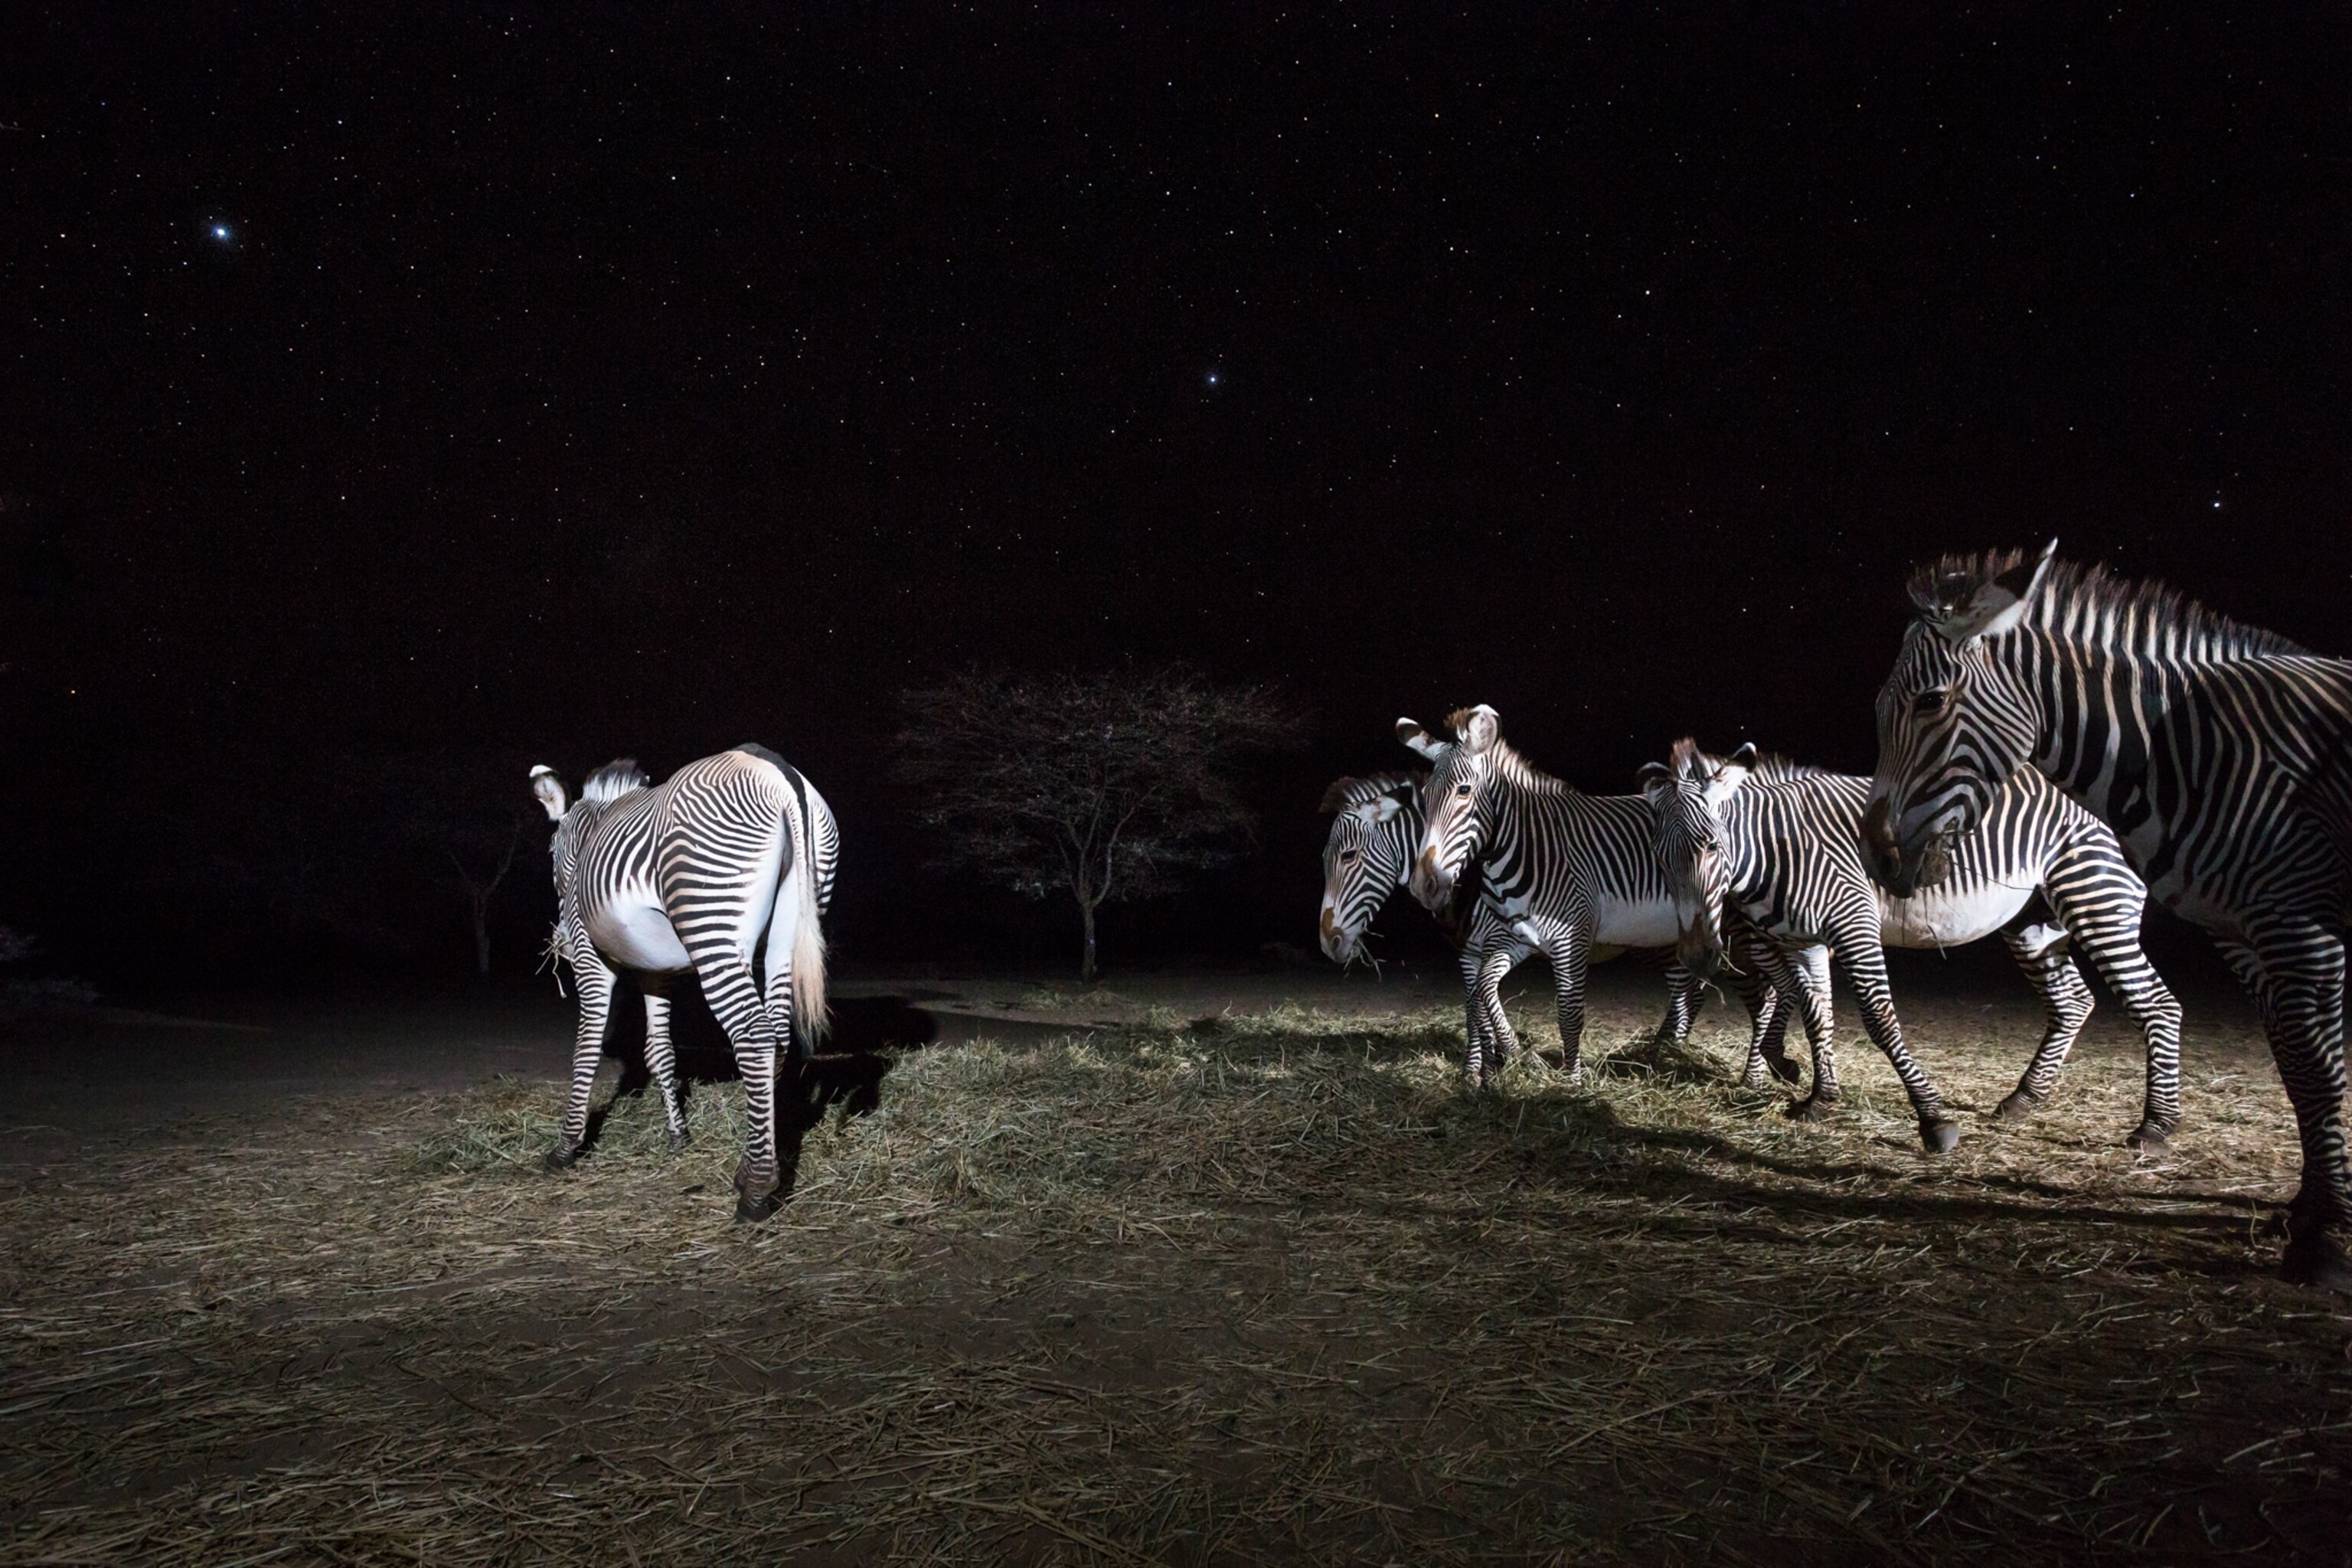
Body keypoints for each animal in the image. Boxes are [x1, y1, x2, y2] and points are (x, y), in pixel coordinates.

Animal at [530, 744, 832, 1222]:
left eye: (550, 851)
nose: (560, 943)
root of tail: (779, 772)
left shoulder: (592, 957)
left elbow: (585, 1048)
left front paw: (565, 1148)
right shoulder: (655, 973)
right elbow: (660, 1051)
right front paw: (678, 1136)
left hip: (712, 918)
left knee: (756, 1037)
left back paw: (755, 1192)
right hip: (792, 924)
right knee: (779, 1041)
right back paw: (756, 1164)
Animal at [1398, 707, 1815, 1083]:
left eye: (1464, 791)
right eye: (1426, 796)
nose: (1425, 886)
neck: (1530, 848)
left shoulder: (1570, 938)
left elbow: (1568, 1013)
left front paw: (1571, 1083)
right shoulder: (1514, 938)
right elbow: (1482, 992)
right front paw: (1507, 1058)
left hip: (1742, 931)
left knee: (1766, 994)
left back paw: (1754, 1076)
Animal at [1641, 737, 2184, 1151]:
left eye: (1712, 846)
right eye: (1659, 859)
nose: (1697, 955)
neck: (1778, 848)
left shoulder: (1853, 922)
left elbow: (1880, 1021)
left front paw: (1933, 1120)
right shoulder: (1803, 941)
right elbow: (1818, 1017)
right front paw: (1820, 1099)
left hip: (2095, 896)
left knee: (2158, 1004)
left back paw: (2155, 1127)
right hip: (2034, 922)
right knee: (2072, 1003)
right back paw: (2022, 1101)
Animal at [1864, 541, 2352, 1290]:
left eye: (1931, 702)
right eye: (1882, 705)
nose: (1877, 860)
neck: (2187, 751)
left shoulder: (2302, 924)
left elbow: (2319, 1069)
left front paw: (2323, 1236)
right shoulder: (2244, 930)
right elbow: (2297, 1068)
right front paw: (2304, 1211)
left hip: (2096, 899)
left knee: (2154, 1002)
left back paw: (2154, 1126)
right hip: (2045, 918)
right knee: (2079, 999)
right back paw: (2034, 1102)